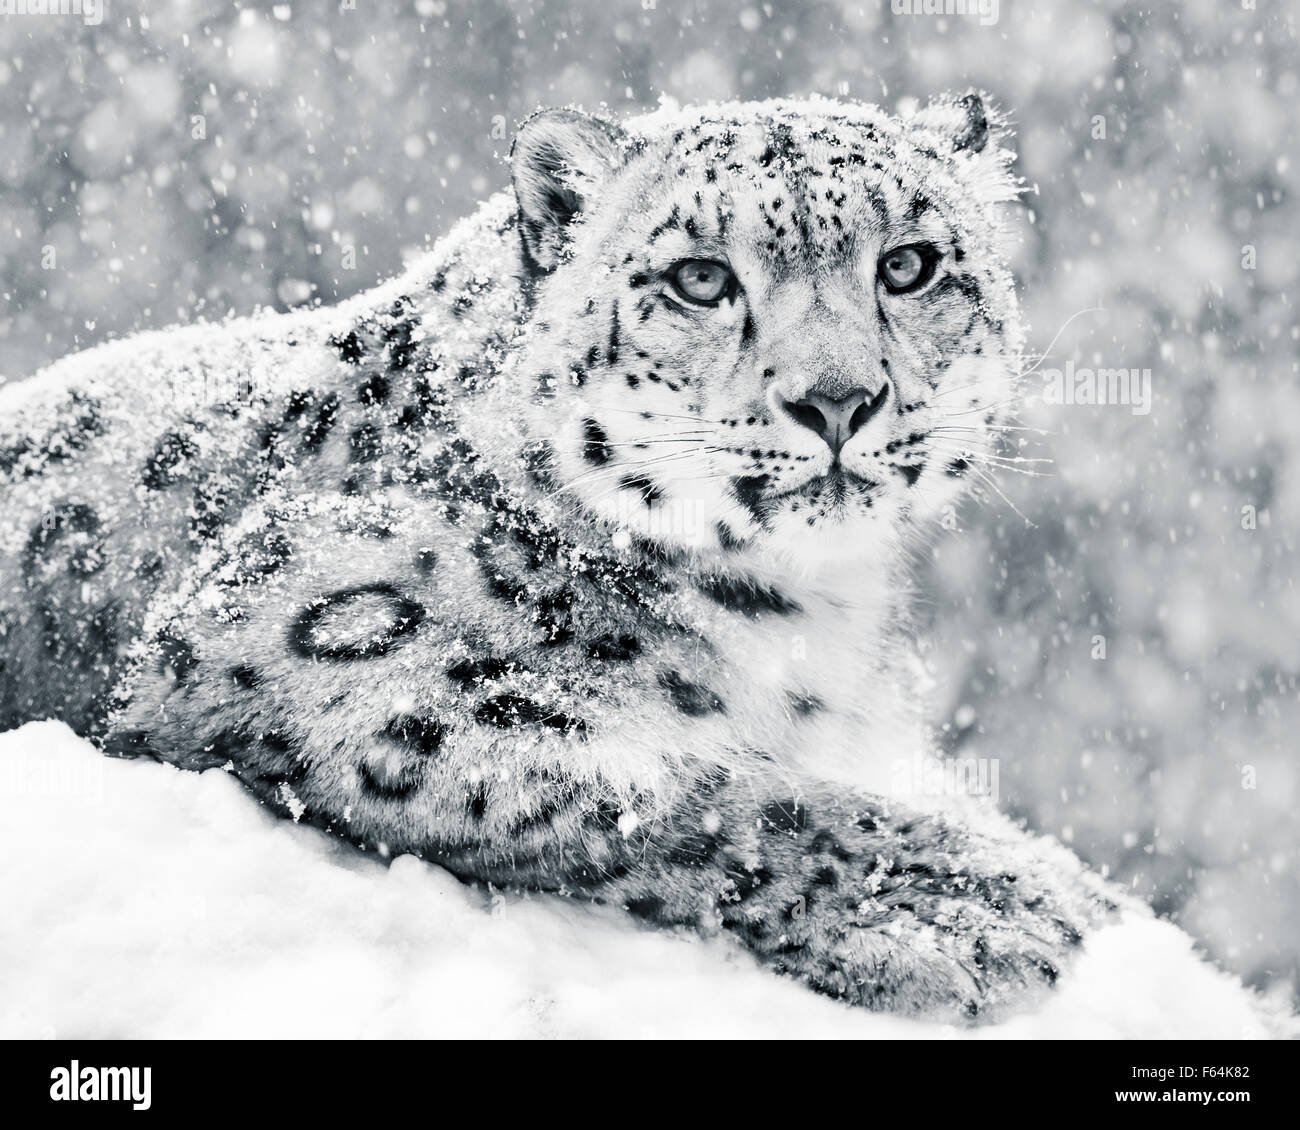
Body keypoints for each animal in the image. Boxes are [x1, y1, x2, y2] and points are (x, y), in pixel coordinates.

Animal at [0, 93, 1128, 1023]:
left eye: (908, 264)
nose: (839, 400)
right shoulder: (293, 644)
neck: (809, 616)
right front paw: (967, 904)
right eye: (700, 278)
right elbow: (649, 783)